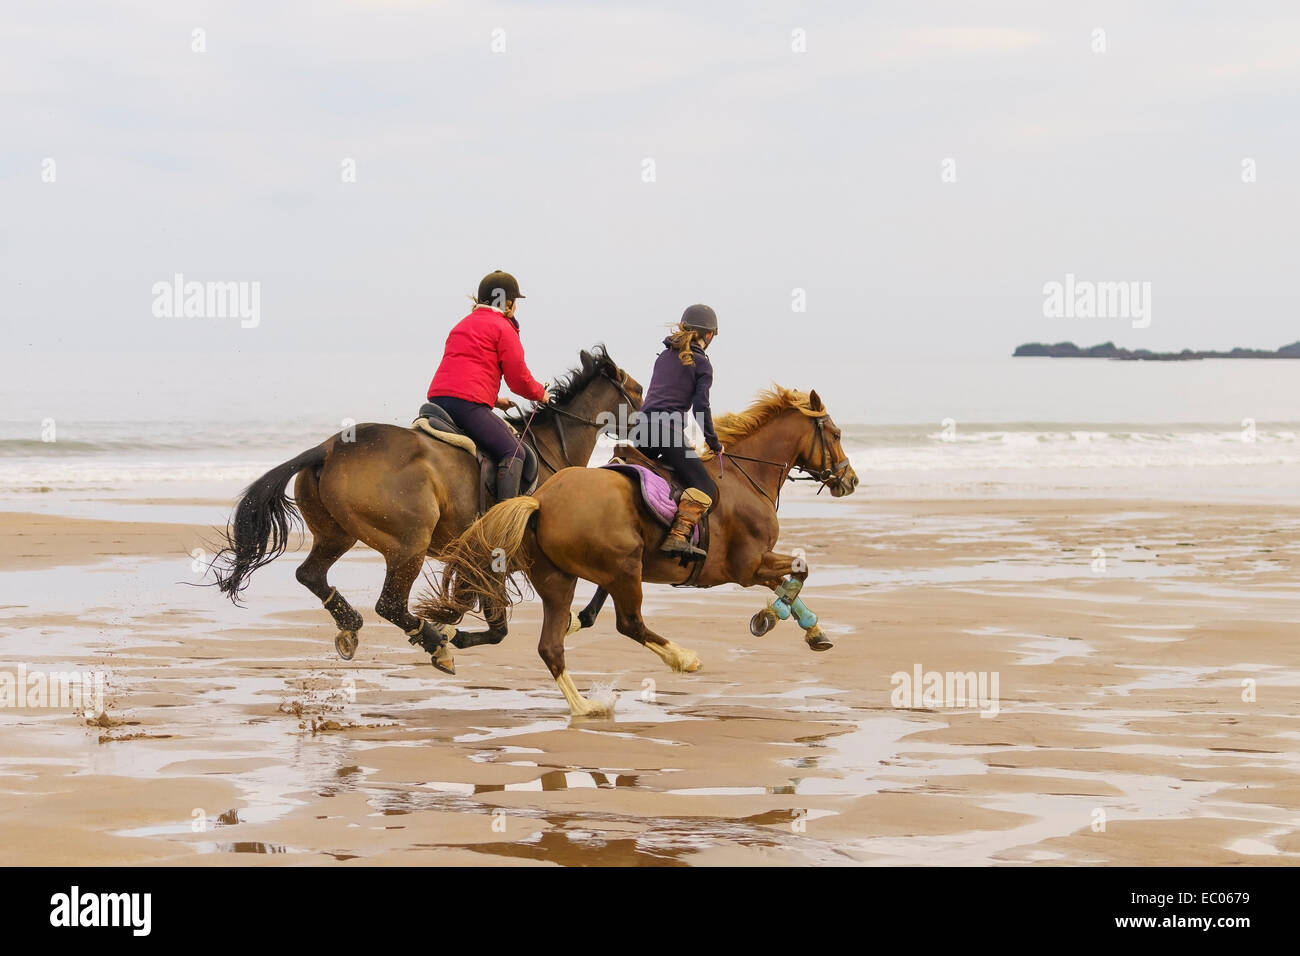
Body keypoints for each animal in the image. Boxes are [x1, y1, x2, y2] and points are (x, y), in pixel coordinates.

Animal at [209, 347, 642, 674]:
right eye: (637, 391)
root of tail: (328, 448)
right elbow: (500, 624)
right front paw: (451, 635)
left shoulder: (486, 560)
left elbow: (495, 622)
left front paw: (452, 629)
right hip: (409, 543)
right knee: (388, 604)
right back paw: (433, 644)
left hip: (338, 535)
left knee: (310, 574)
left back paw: (351, 625)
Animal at [414, 387, 859, 715]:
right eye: (836, 435)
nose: (849, 480)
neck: (746, 476)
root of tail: (540, 500)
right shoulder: (746, 566)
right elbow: (799, 571)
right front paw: (768, 617)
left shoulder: (751, 565)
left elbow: (790, 580)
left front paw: (813, 630)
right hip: (625, 569)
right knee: (629, 624)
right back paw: (683, 658)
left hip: (559, 578)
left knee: (551, 645)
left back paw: (584, 706)